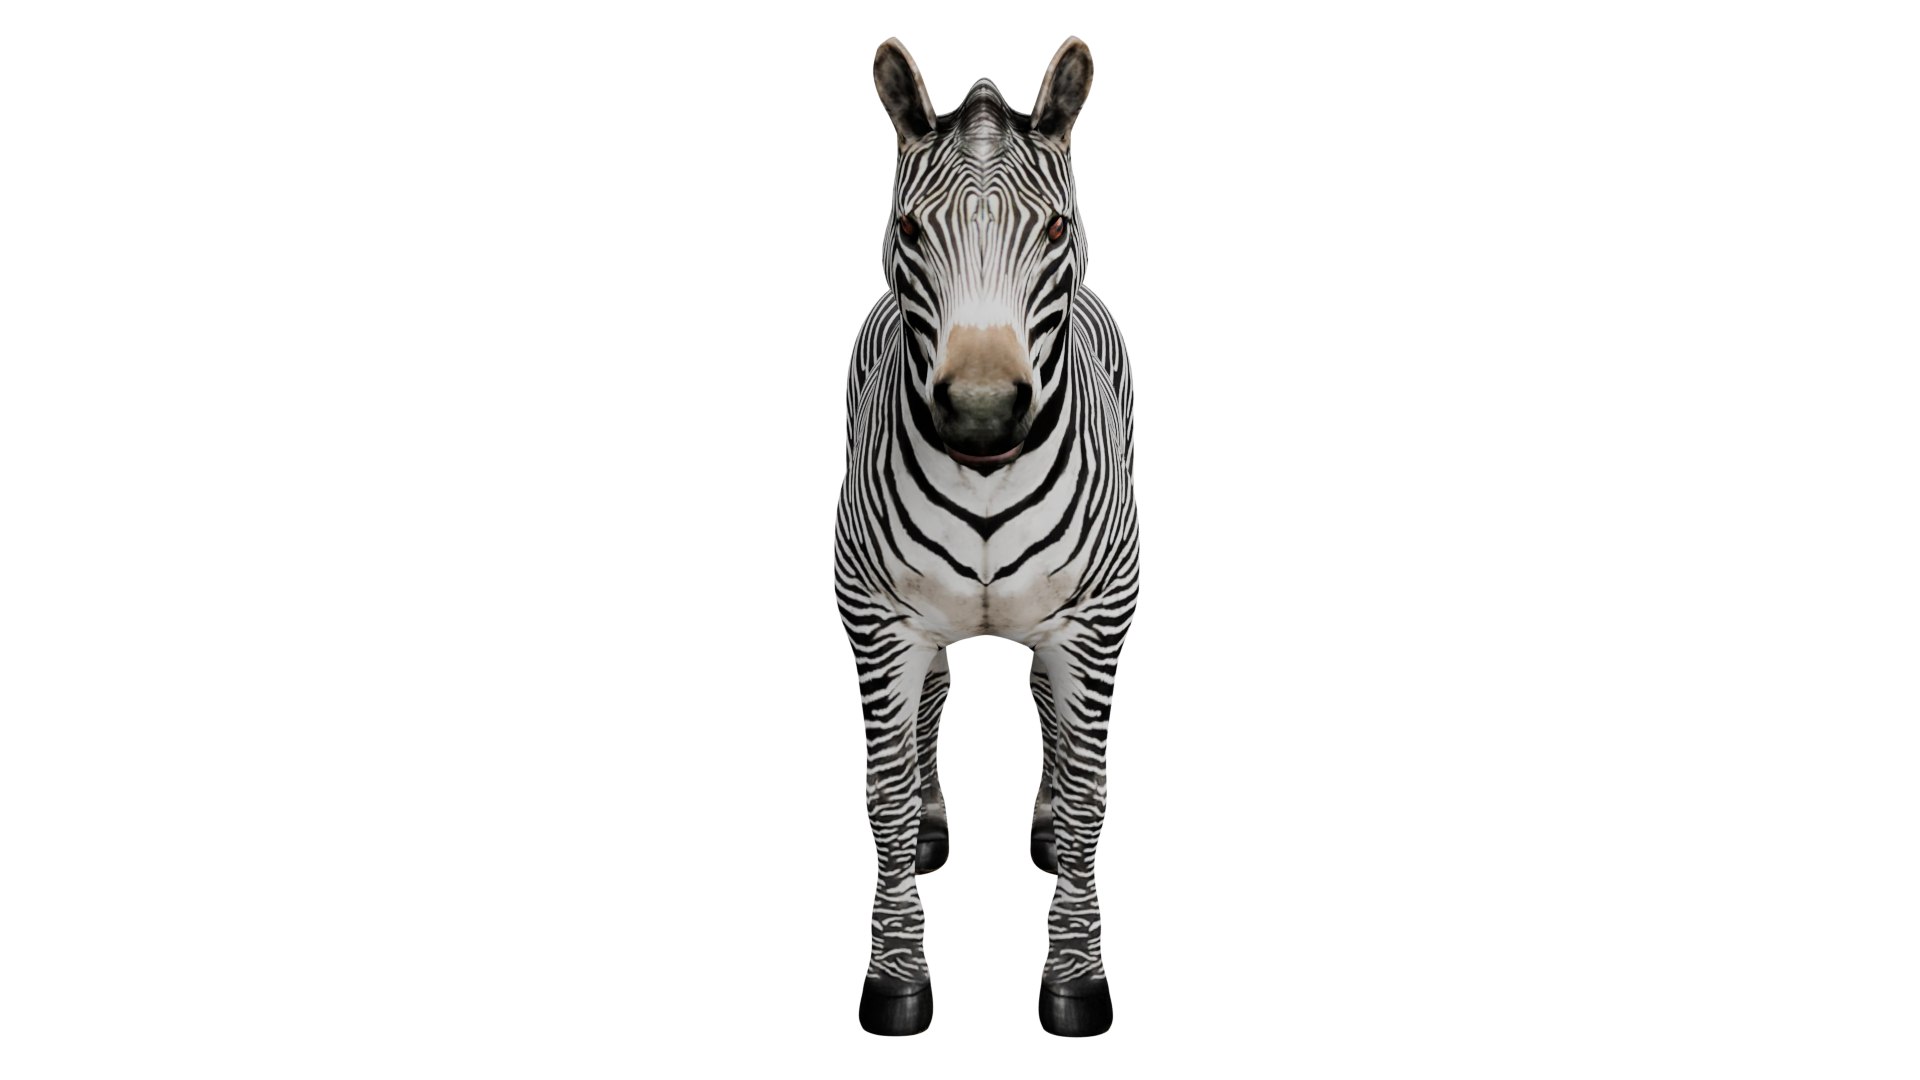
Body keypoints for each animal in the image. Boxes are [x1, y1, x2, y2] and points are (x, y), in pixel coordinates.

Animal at [835, 37, 1139, 1038]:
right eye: (909, 230)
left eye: (1053, 232)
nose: (977, 416)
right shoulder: (876, 621)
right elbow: (883, 796)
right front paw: (896, 978)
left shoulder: (1096, 623)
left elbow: (1088, 797)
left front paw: (1076, 980)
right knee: (933, 695)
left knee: (1046, 701)